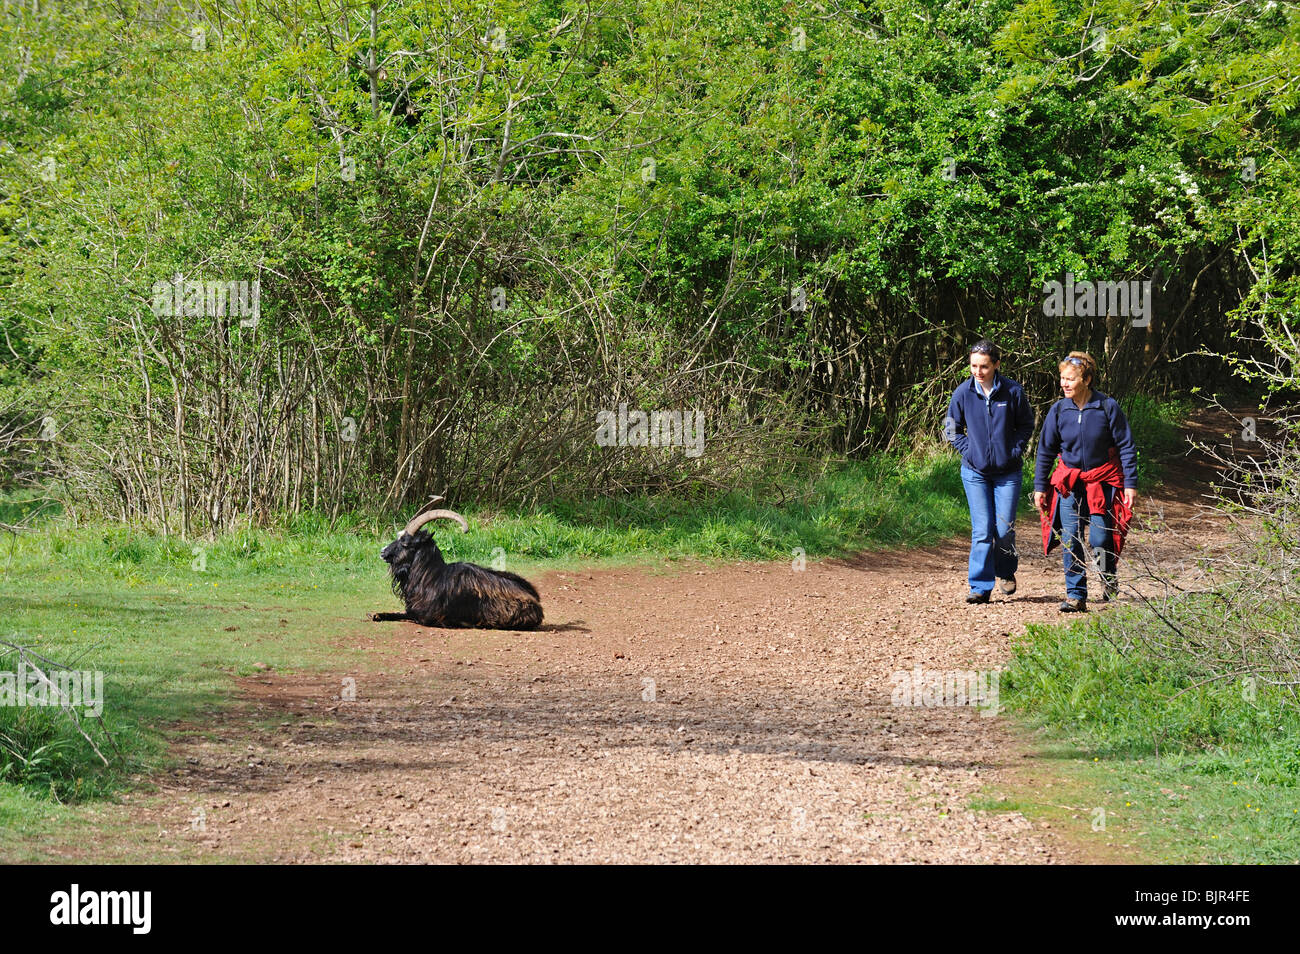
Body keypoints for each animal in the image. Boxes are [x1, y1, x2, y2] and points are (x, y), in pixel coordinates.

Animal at [371, 500, 543, 630]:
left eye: (405, 543)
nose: (382, 552)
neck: (430, 578)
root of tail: (537, 603)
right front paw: (376, 615)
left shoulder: (428, 617)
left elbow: (411, 616)